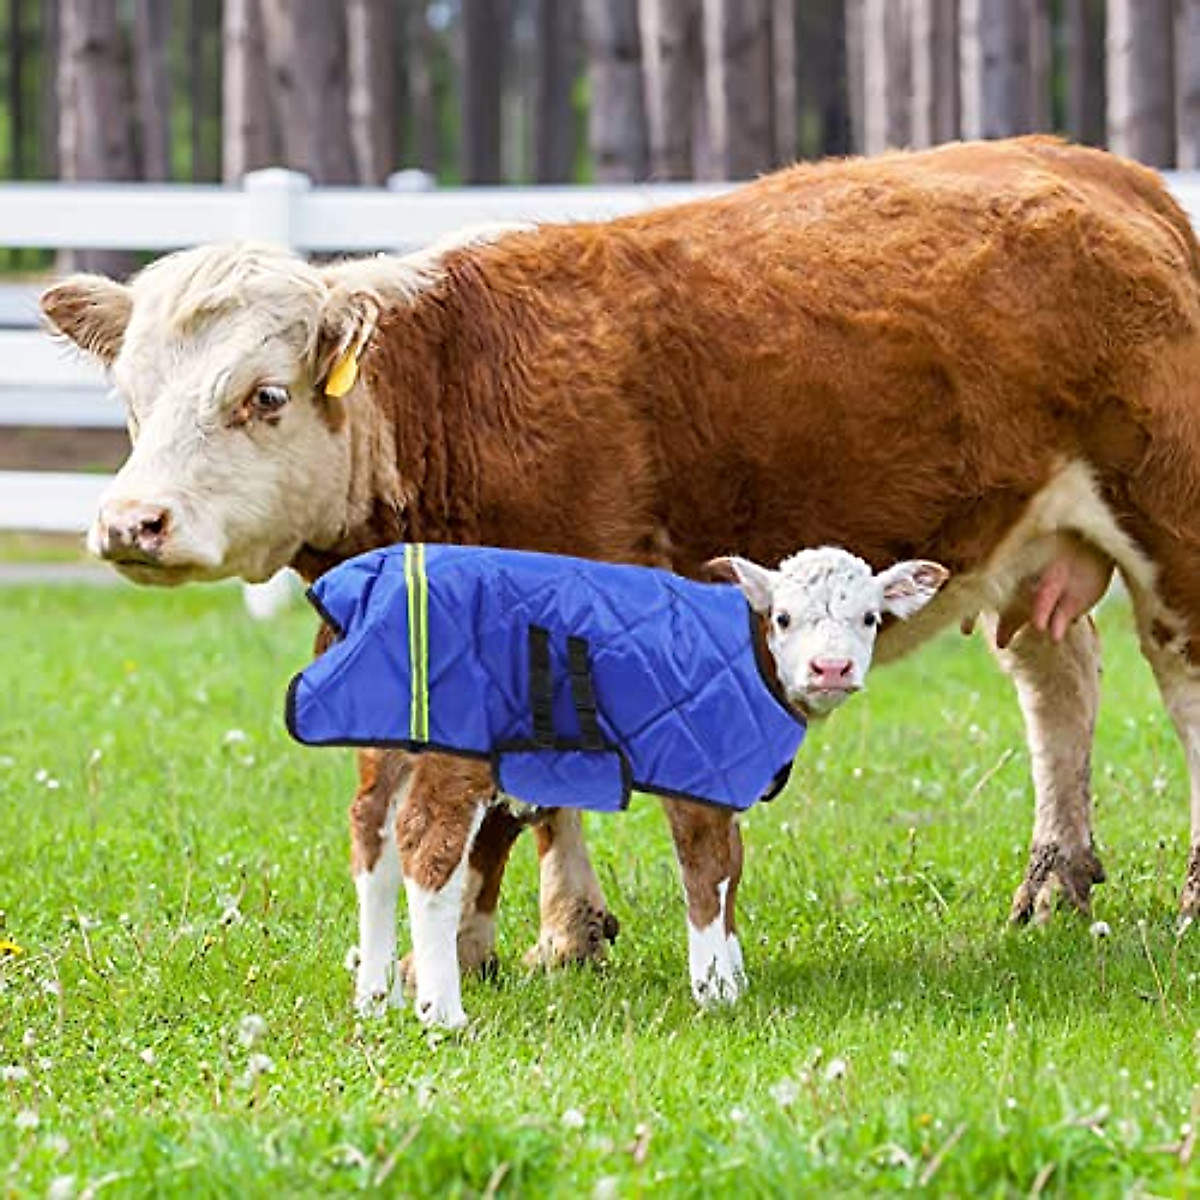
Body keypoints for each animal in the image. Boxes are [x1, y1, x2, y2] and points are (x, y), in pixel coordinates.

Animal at [40, 136, 1200, 1019]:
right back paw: (1056, 879)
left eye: (266, 396)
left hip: (1169, 518)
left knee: (1182, 684)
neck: (458, 394)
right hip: (1036, 542)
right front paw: (561, 934)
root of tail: (1102, 170)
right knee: (1060, 679)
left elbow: (513, 812)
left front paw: (459, 954)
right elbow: (535, 799)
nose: (132, 521)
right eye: (132, 402)